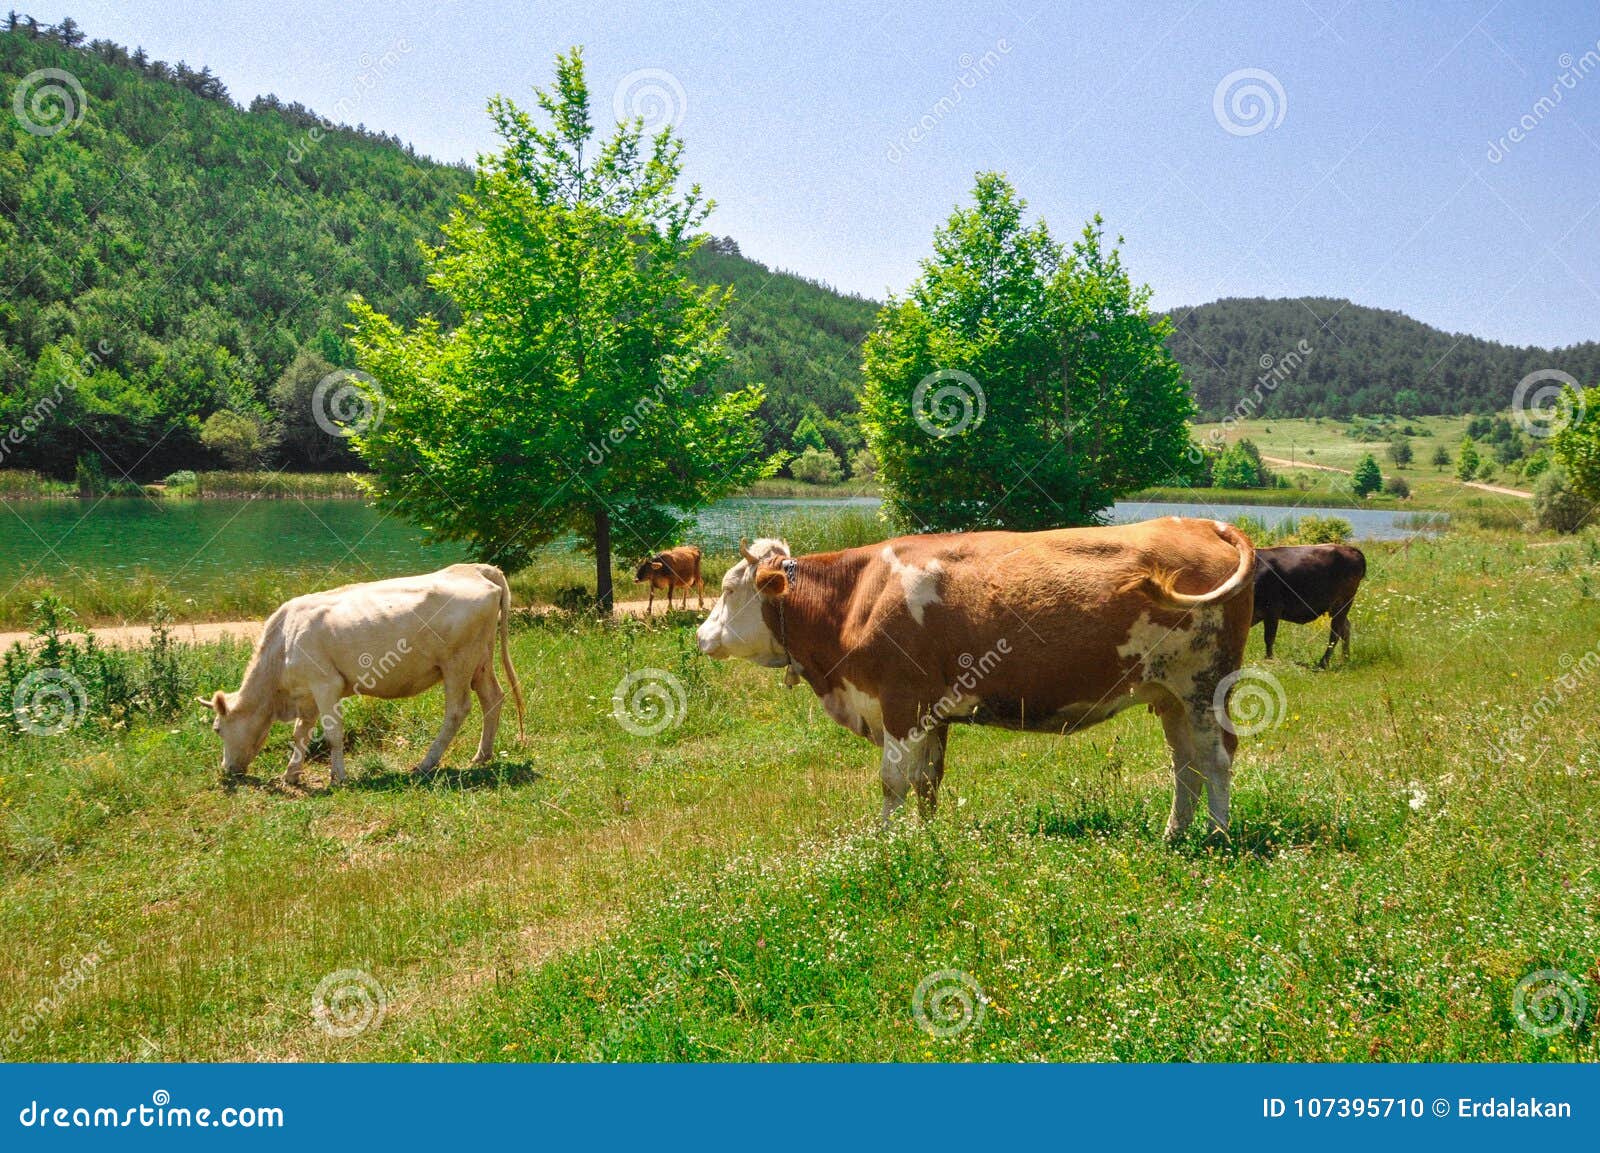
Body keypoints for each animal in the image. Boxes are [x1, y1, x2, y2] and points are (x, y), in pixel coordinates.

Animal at [199, 564, 525, 785]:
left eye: (217, 729)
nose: (226, 770)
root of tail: (474, 569)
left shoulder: (325, 684)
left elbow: (332, 733)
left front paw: (338, 777)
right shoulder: (308, 694)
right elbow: (301, 733)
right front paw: (291, 774)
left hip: (457, 662)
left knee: (457, 710)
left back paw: (426, 763)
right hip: (480, 661)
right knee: (492, 698)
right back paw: (482, 755)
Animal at [696, 518, 1257, 843]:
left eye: (728, 589)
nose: (701, 636)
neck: (858, 596)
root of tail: (1204, 522)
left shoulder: (900, 702)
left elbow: (892, 781)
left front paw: (883, 846)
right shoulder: (929, 713)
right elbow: (926, 781)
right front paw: (924, 840)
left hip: (1205, 686)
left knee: (1215, 758)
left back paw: (1217, 839)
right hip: (1170, 694)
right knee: (1185, 764)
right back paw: (1173, 835)